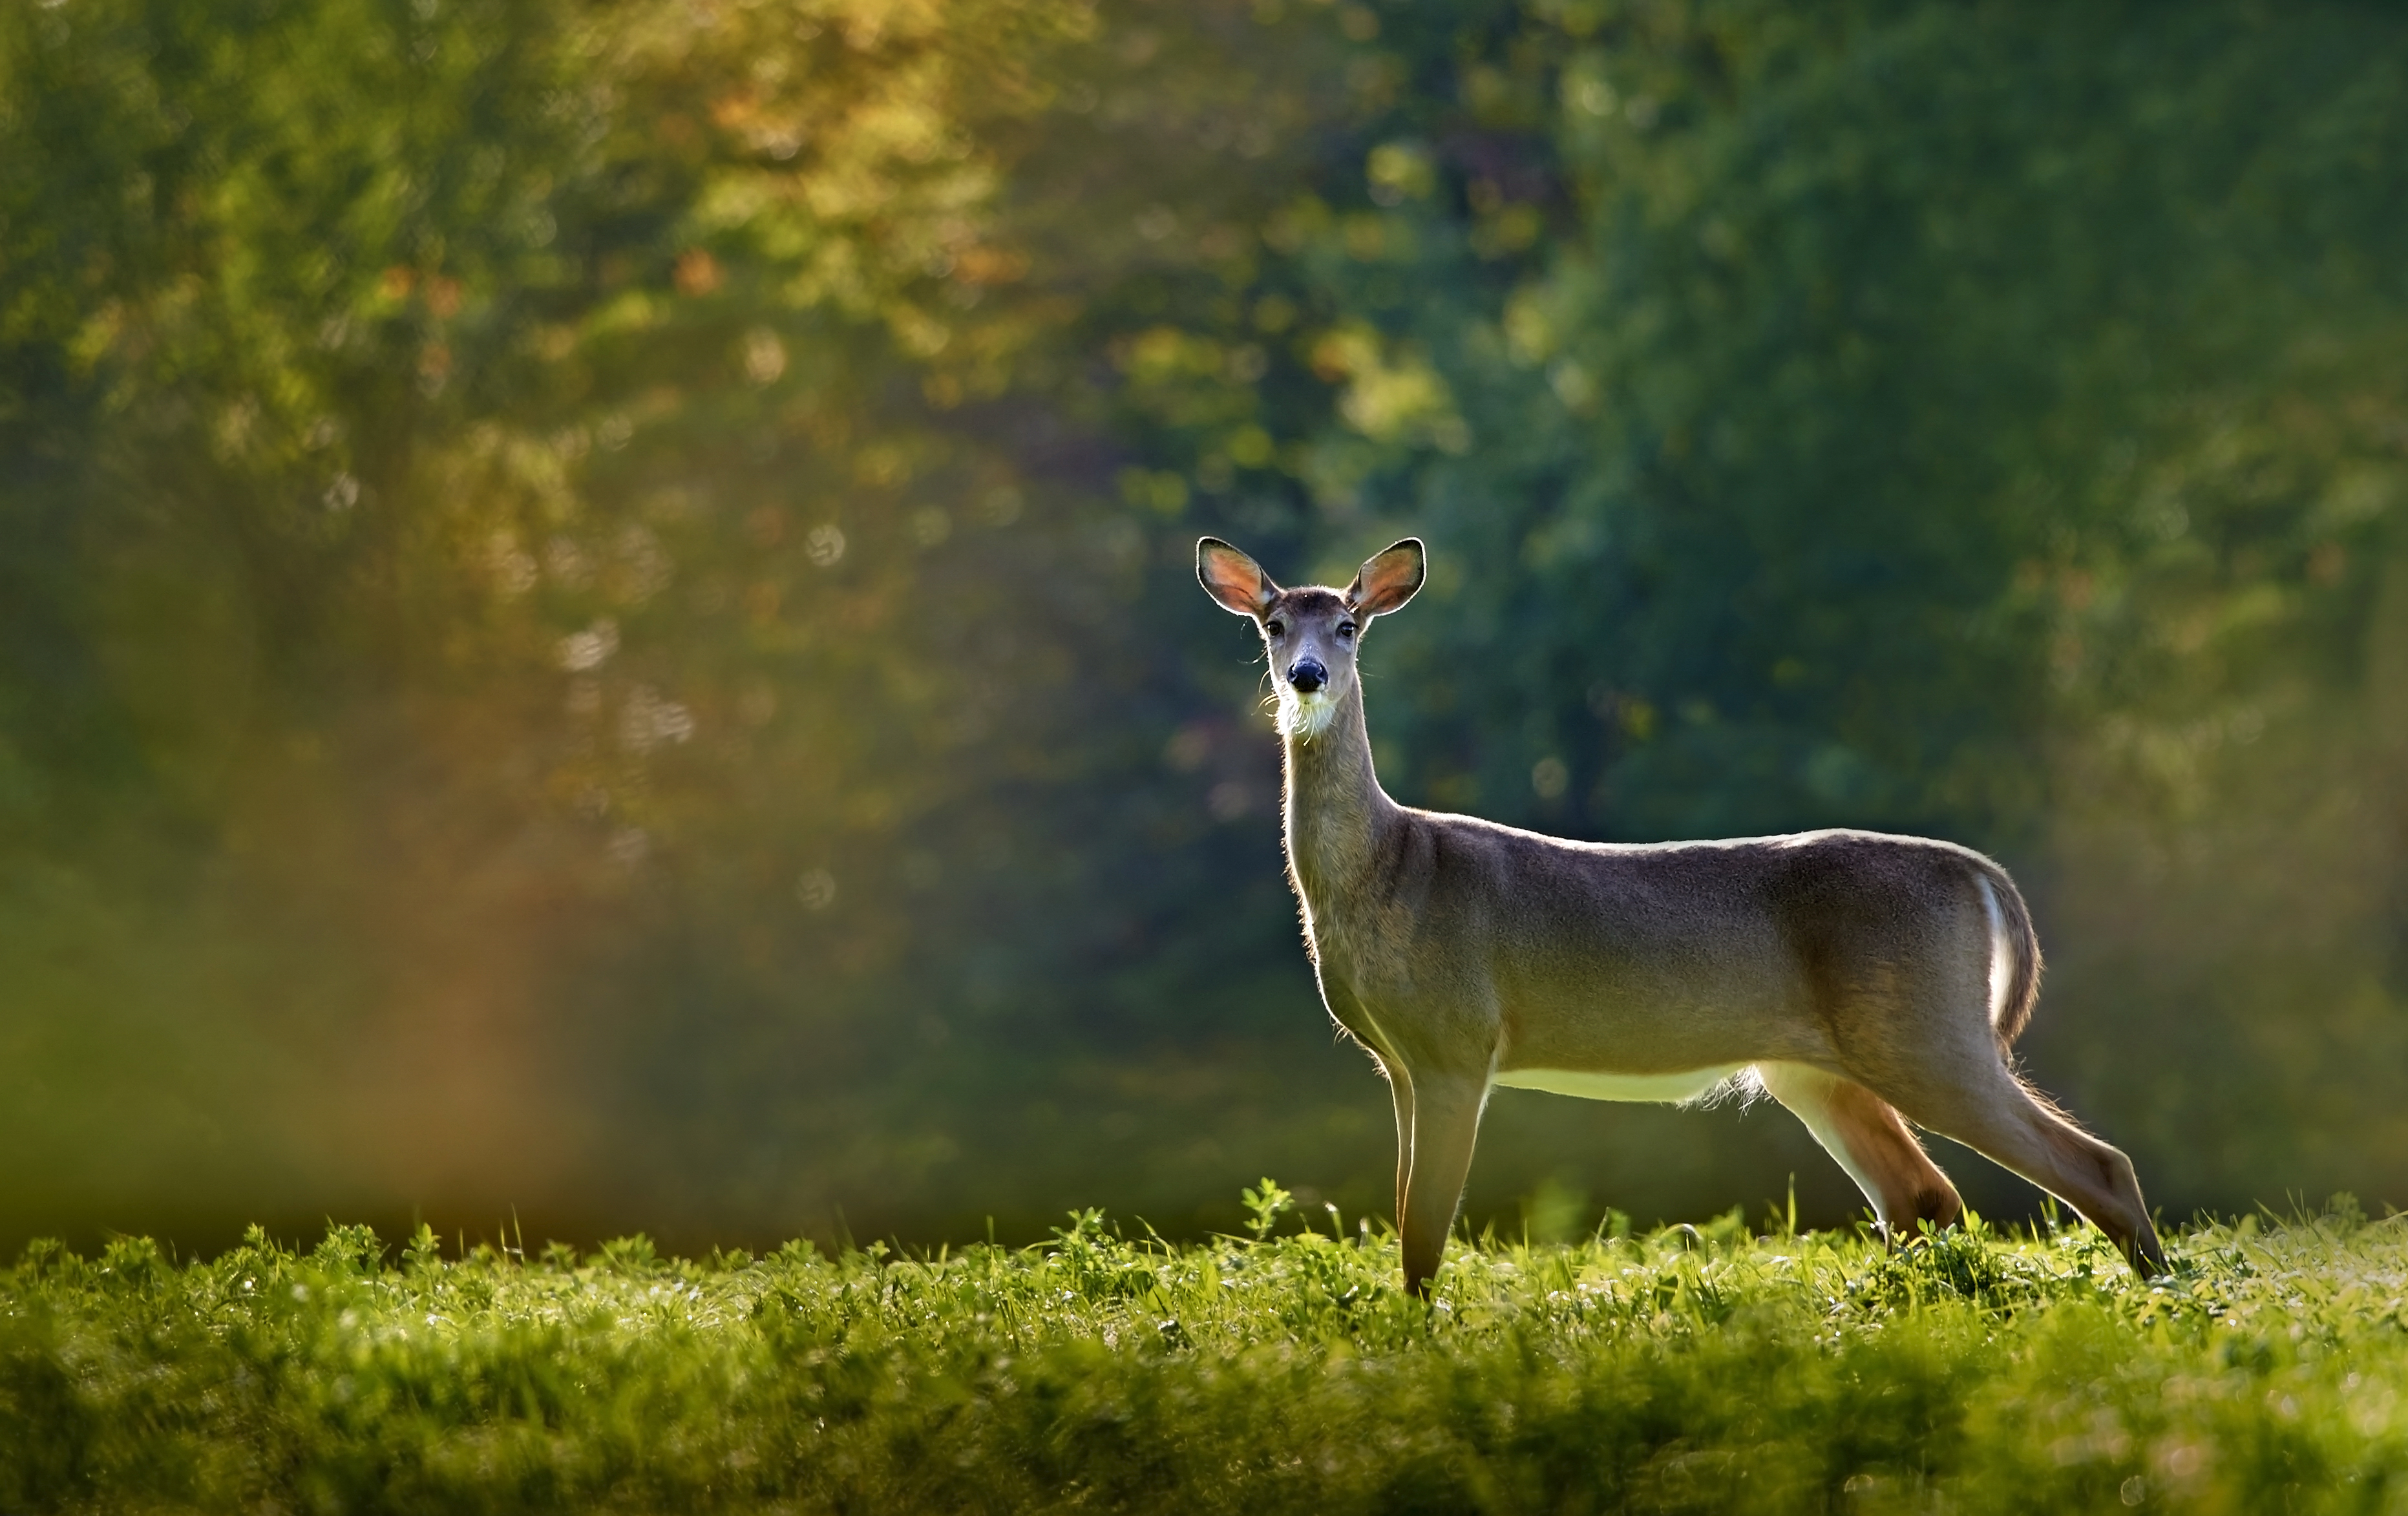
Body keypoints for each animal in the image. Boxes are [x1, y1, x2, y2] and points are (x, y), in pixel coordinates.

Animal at [1196, 534, 2166, 1298]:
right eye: (1273, 625)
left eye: (1349, 625)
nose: (1307, 675)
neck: (1386, 872)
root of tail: (1975, 872)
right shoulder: (1399, 1063)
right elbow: (1406, 1223)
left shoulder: (1455, 1042)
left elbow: (1425, 1231)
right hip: (1817, 1064)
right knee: (1921, 1197)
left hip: (1925, 1028)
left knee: (2093, 1163)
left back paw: (2163, 1294)